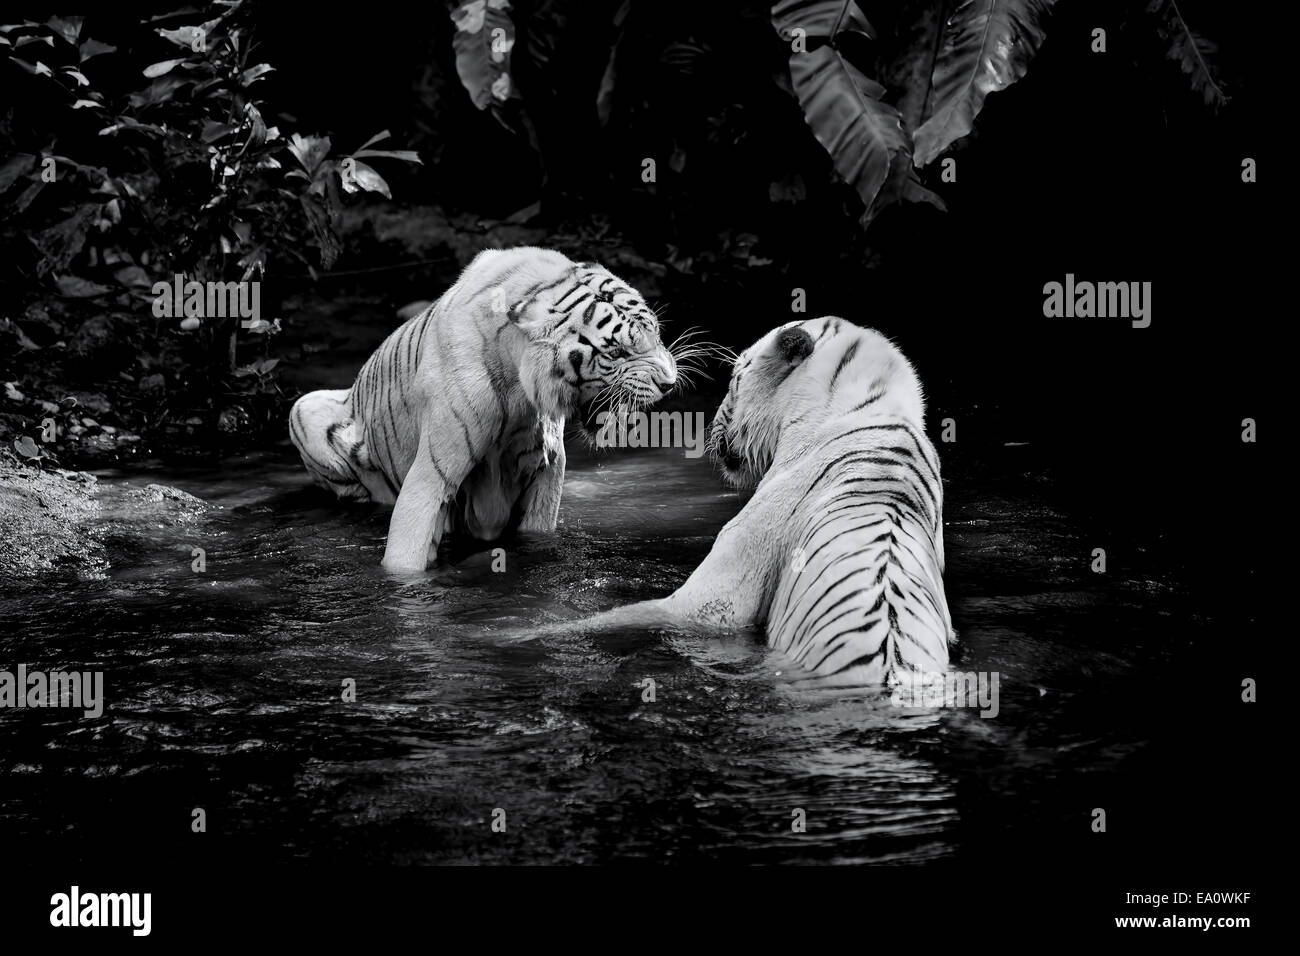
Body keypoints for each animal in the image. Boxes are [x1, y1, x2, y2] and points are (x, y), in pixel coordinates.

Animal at [289, 246, 682, 572]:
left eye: (655, 332)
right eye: (617, 352)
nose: (669, 382)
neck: (519, 388)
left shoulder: (548, 468)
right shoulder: (433, 472)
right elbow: (408, 545)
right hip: (302, 407)